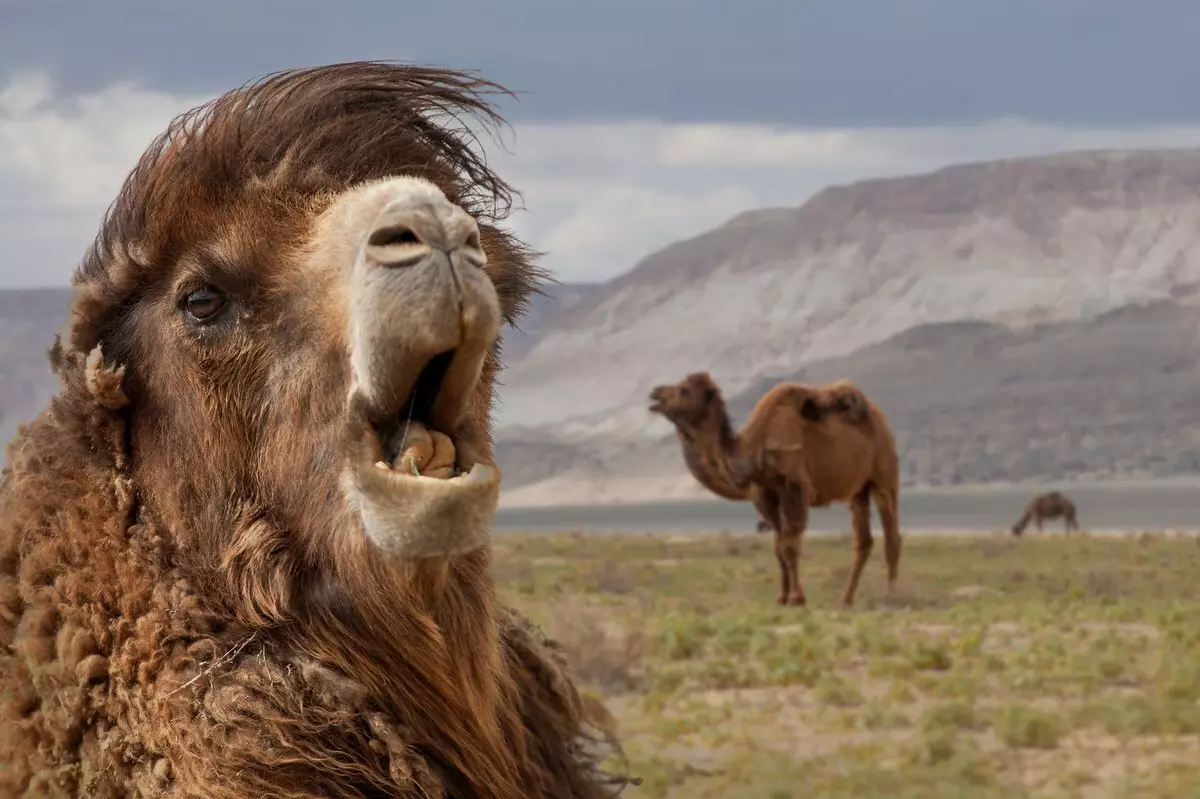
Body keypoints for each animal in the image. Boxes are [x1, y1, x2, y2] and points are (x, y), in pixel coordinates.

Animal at [652, 371, 897, 604]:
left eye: (684, 390)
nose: (655, 394)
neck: (756, 452)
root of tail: (879, 417)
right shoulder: (766, 496)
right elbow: (778, 547)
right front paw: (782, 597)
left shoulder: (794, 490)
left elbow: (790, 546)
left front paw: (797, 598)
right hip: (857, 491)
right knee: (862, 540)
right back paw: (846, 599)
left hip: (884, 476)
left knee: (891, 535)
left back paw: (891, 597)